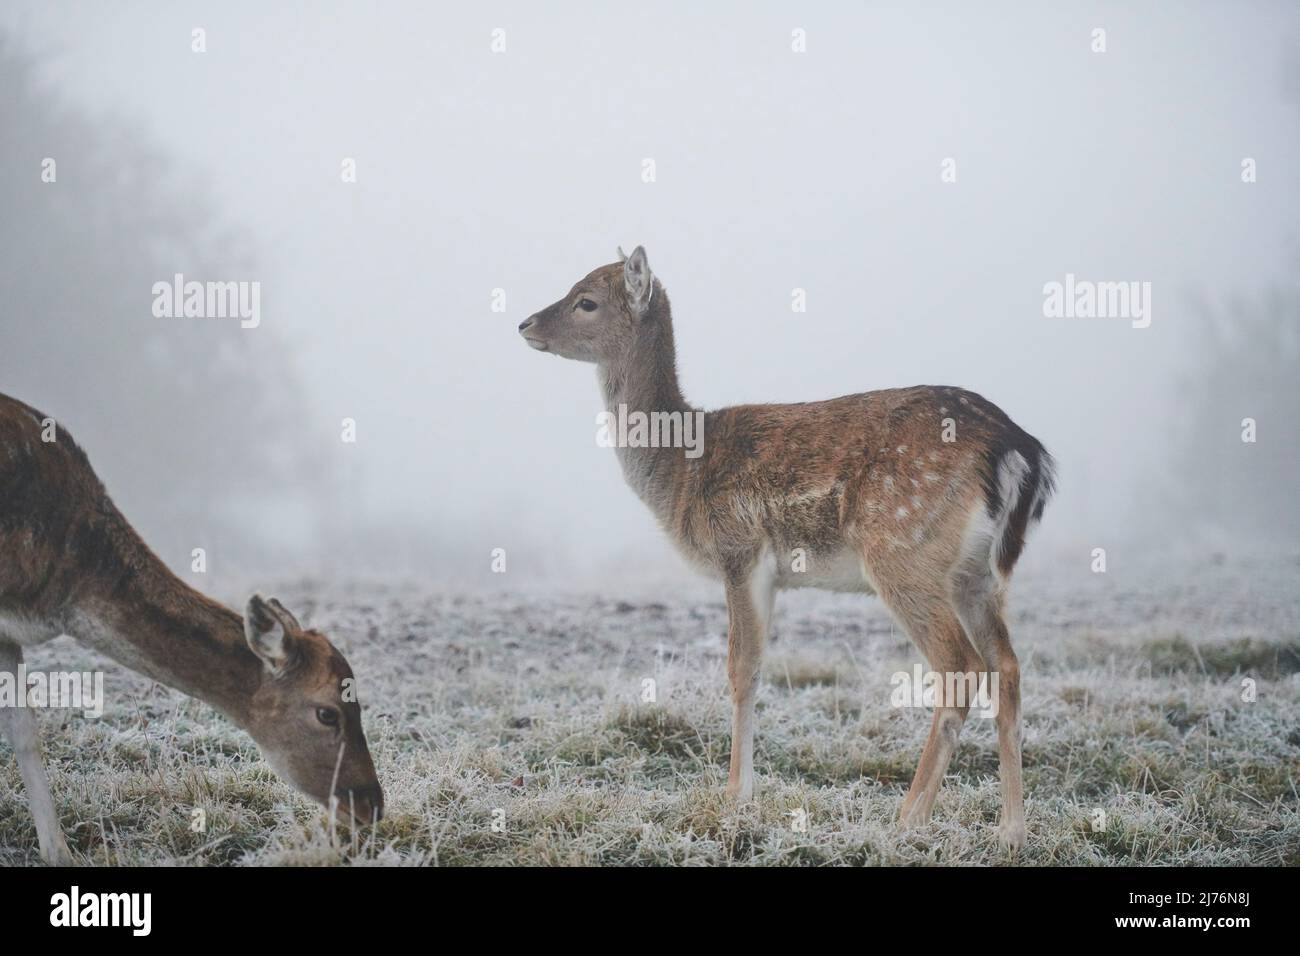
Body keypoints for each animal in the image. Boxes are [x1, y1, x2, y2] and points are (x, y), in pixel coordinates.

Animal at [518, 247, 1056, 849]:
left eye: (585, 300)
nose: (525, 324)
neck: (681, 471)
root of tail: (1019, 451)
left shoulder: (737, 549)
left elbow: (741, 670)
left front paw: (735, 796)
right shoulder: (771, 573)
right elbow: (757, 669)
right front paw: (743, 792)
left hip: (902, 551)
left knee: (960, 666)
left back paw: (909, 818)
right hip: (977, 574)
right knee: (1007, 666)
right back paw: (1011, 829)